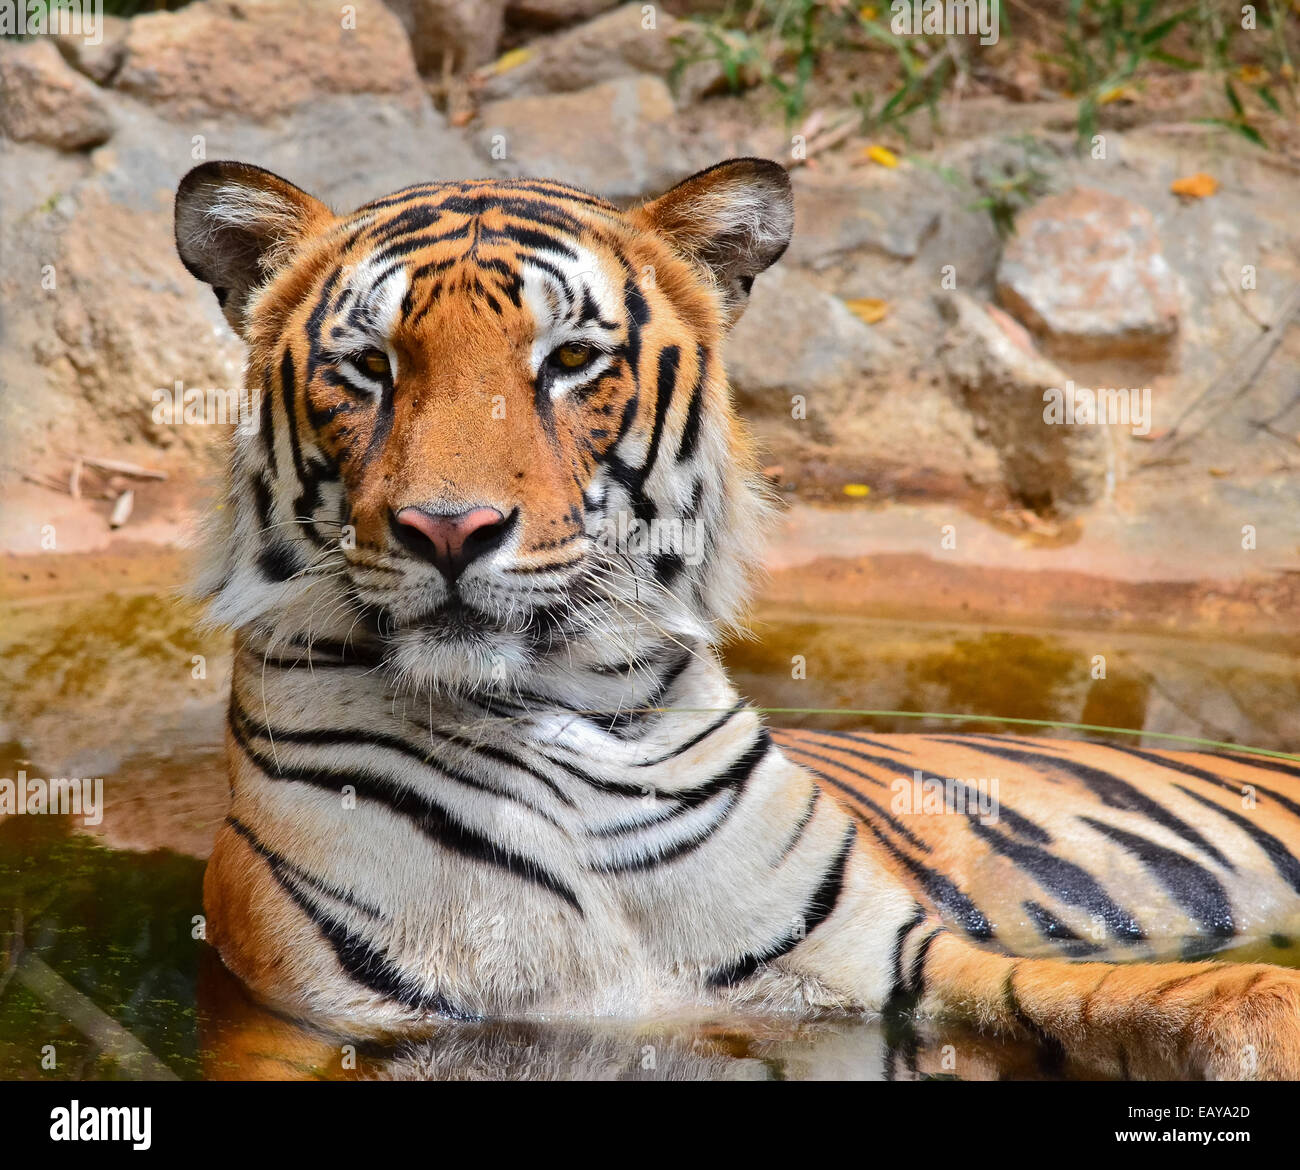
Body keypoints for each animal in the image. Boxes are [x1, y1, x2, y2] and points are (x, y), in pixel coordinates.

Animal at [174, 156, 1300, 1080]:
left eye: (569, 361)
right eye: (369, 367)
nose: (449, 530)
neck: (563, 719)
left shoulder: (905, 965)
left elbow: (1173, 995)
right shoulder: (305, 1016)